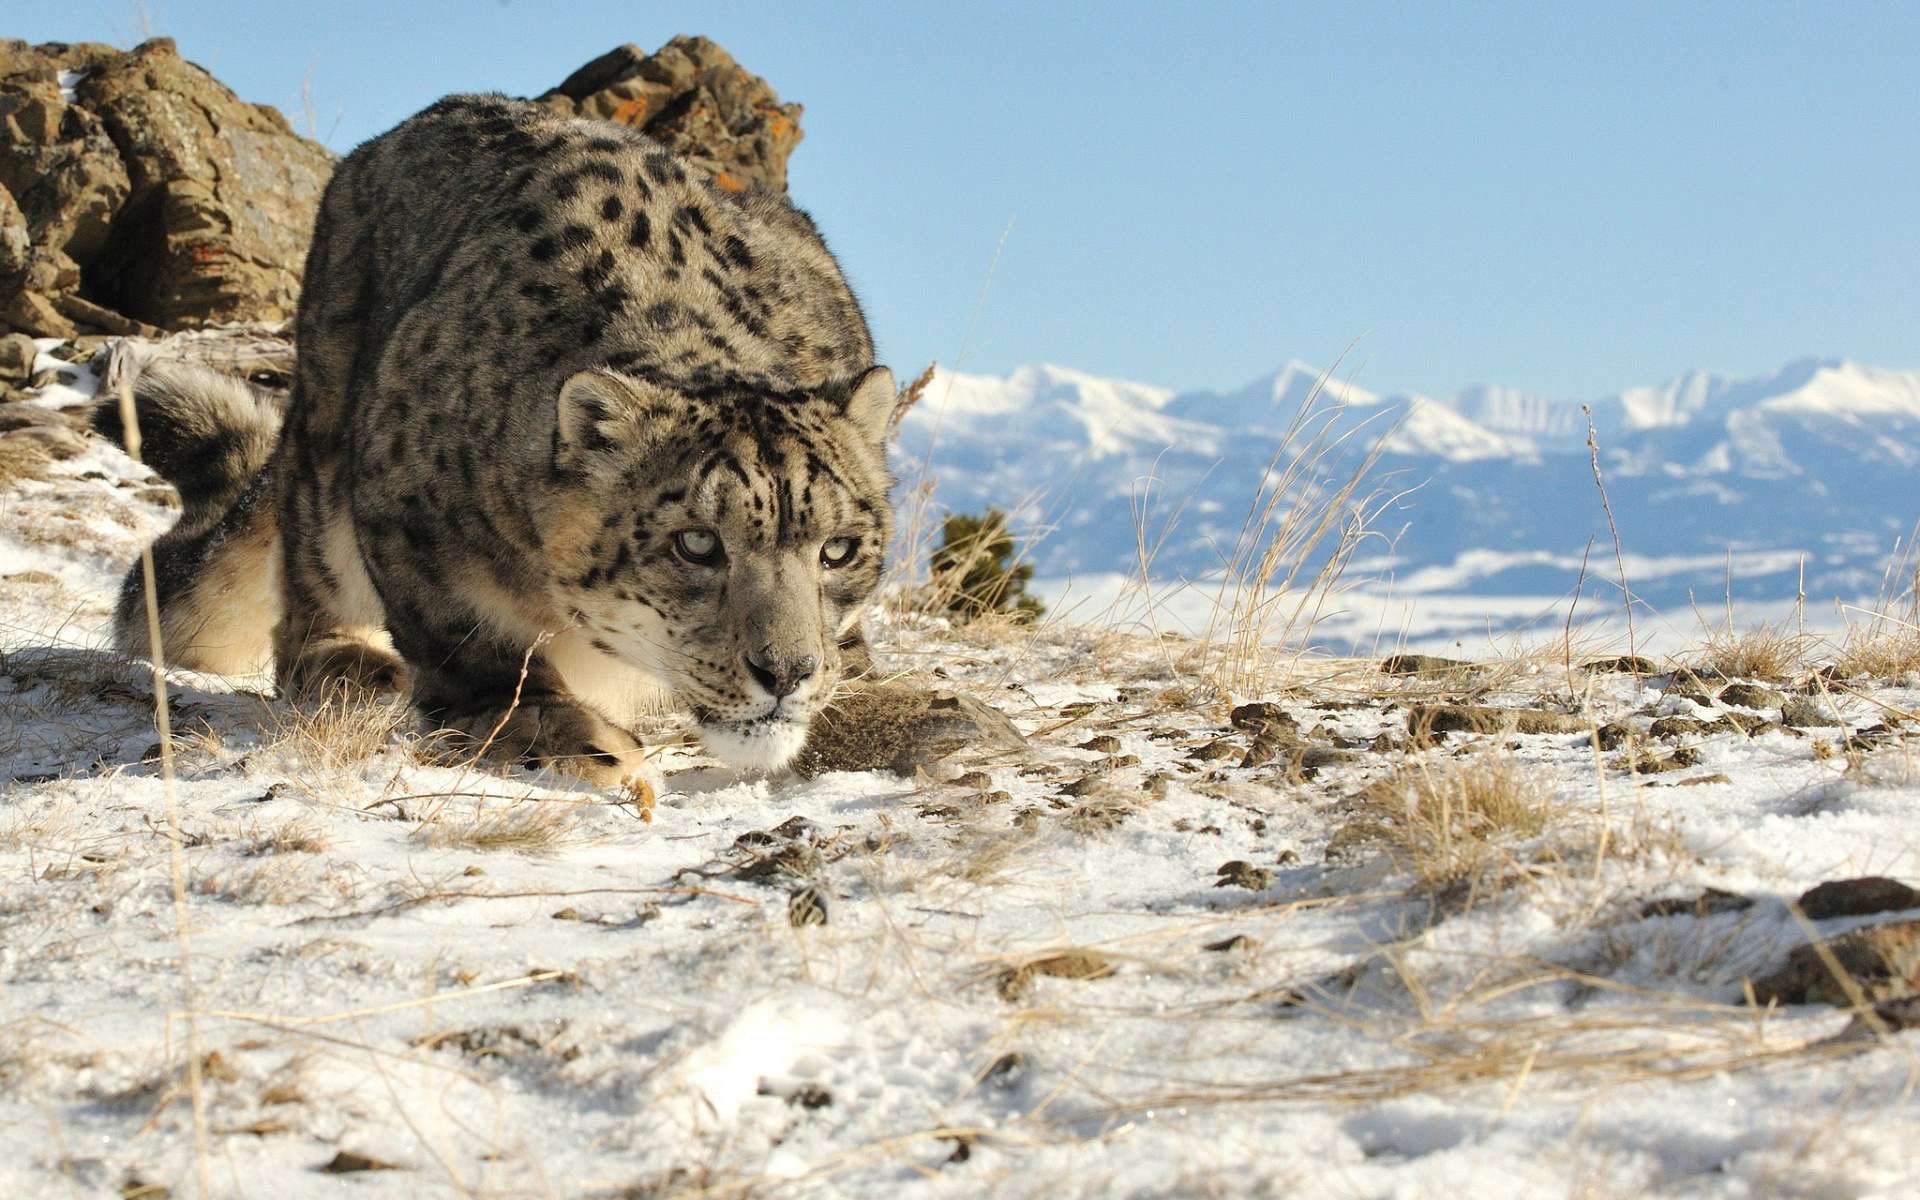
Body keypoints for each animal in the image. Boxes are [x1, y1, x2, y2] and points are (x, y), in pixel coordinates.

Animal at [94, 94, 898, 784]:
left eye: (839, 549)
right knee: (305, 586)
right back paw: (347, 660)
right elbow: (472, 641)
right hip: (326, 430)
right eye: (696, 543)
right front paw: (569, 735)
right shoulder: (405, 508)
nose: (786, 671)